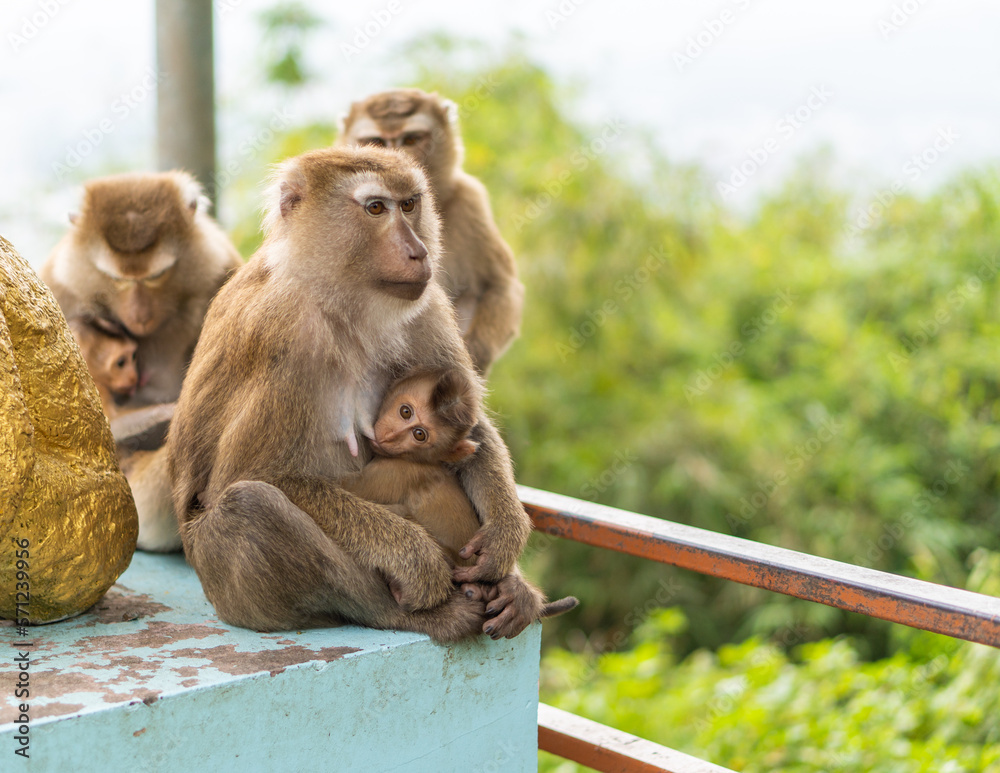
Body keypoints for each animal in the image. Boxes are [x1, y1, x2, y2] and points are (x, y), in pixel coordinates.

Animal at [168, 146, 542, 642]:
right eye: (376, 208)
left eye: (409, 205)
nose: (418, 251)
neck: (338, 300)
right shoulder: (282, 332)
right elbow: (250, 476)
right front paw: (414, 557)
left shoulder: (426, 307)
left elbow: (472, 429)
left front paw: (504, 539)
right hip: (222, 585)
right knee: (248, 509)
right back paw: (408, 614)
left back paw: (510, 591)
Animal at [337, 88, 524, 375]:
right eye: (376, 142)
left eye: (412, 139)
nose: (395, 166)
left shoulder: (470, 201)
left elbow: (500, 287)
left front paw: (474, 354)